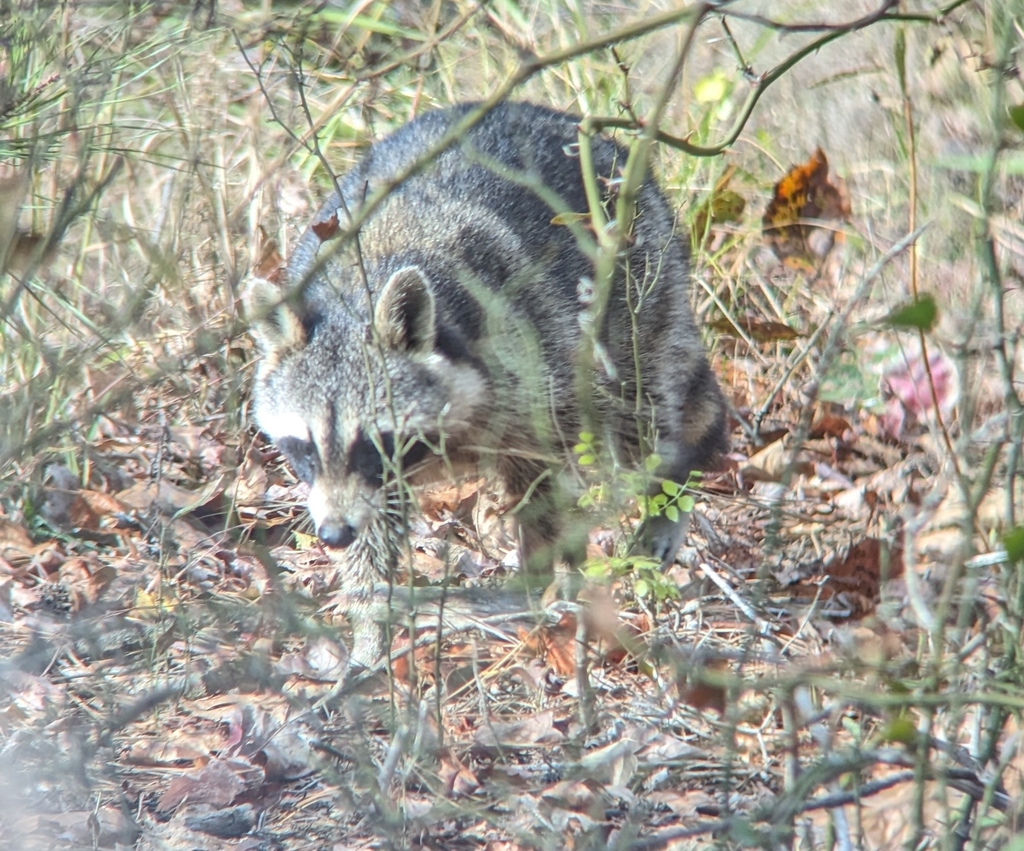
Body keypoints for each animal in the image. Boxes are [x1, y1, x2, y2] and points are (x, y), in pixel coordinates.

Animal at [248, 102, 727, 667]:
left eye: (373, 444)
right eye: (304, 448)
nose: (333, 533)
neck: (356, 293)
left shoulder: (530, 360)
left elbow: (545, 475)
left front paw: (545, 576)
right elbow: (376, 524)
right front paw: (370, 618)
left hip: (636, 279)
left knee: (638, 411)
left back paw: (669, 481)